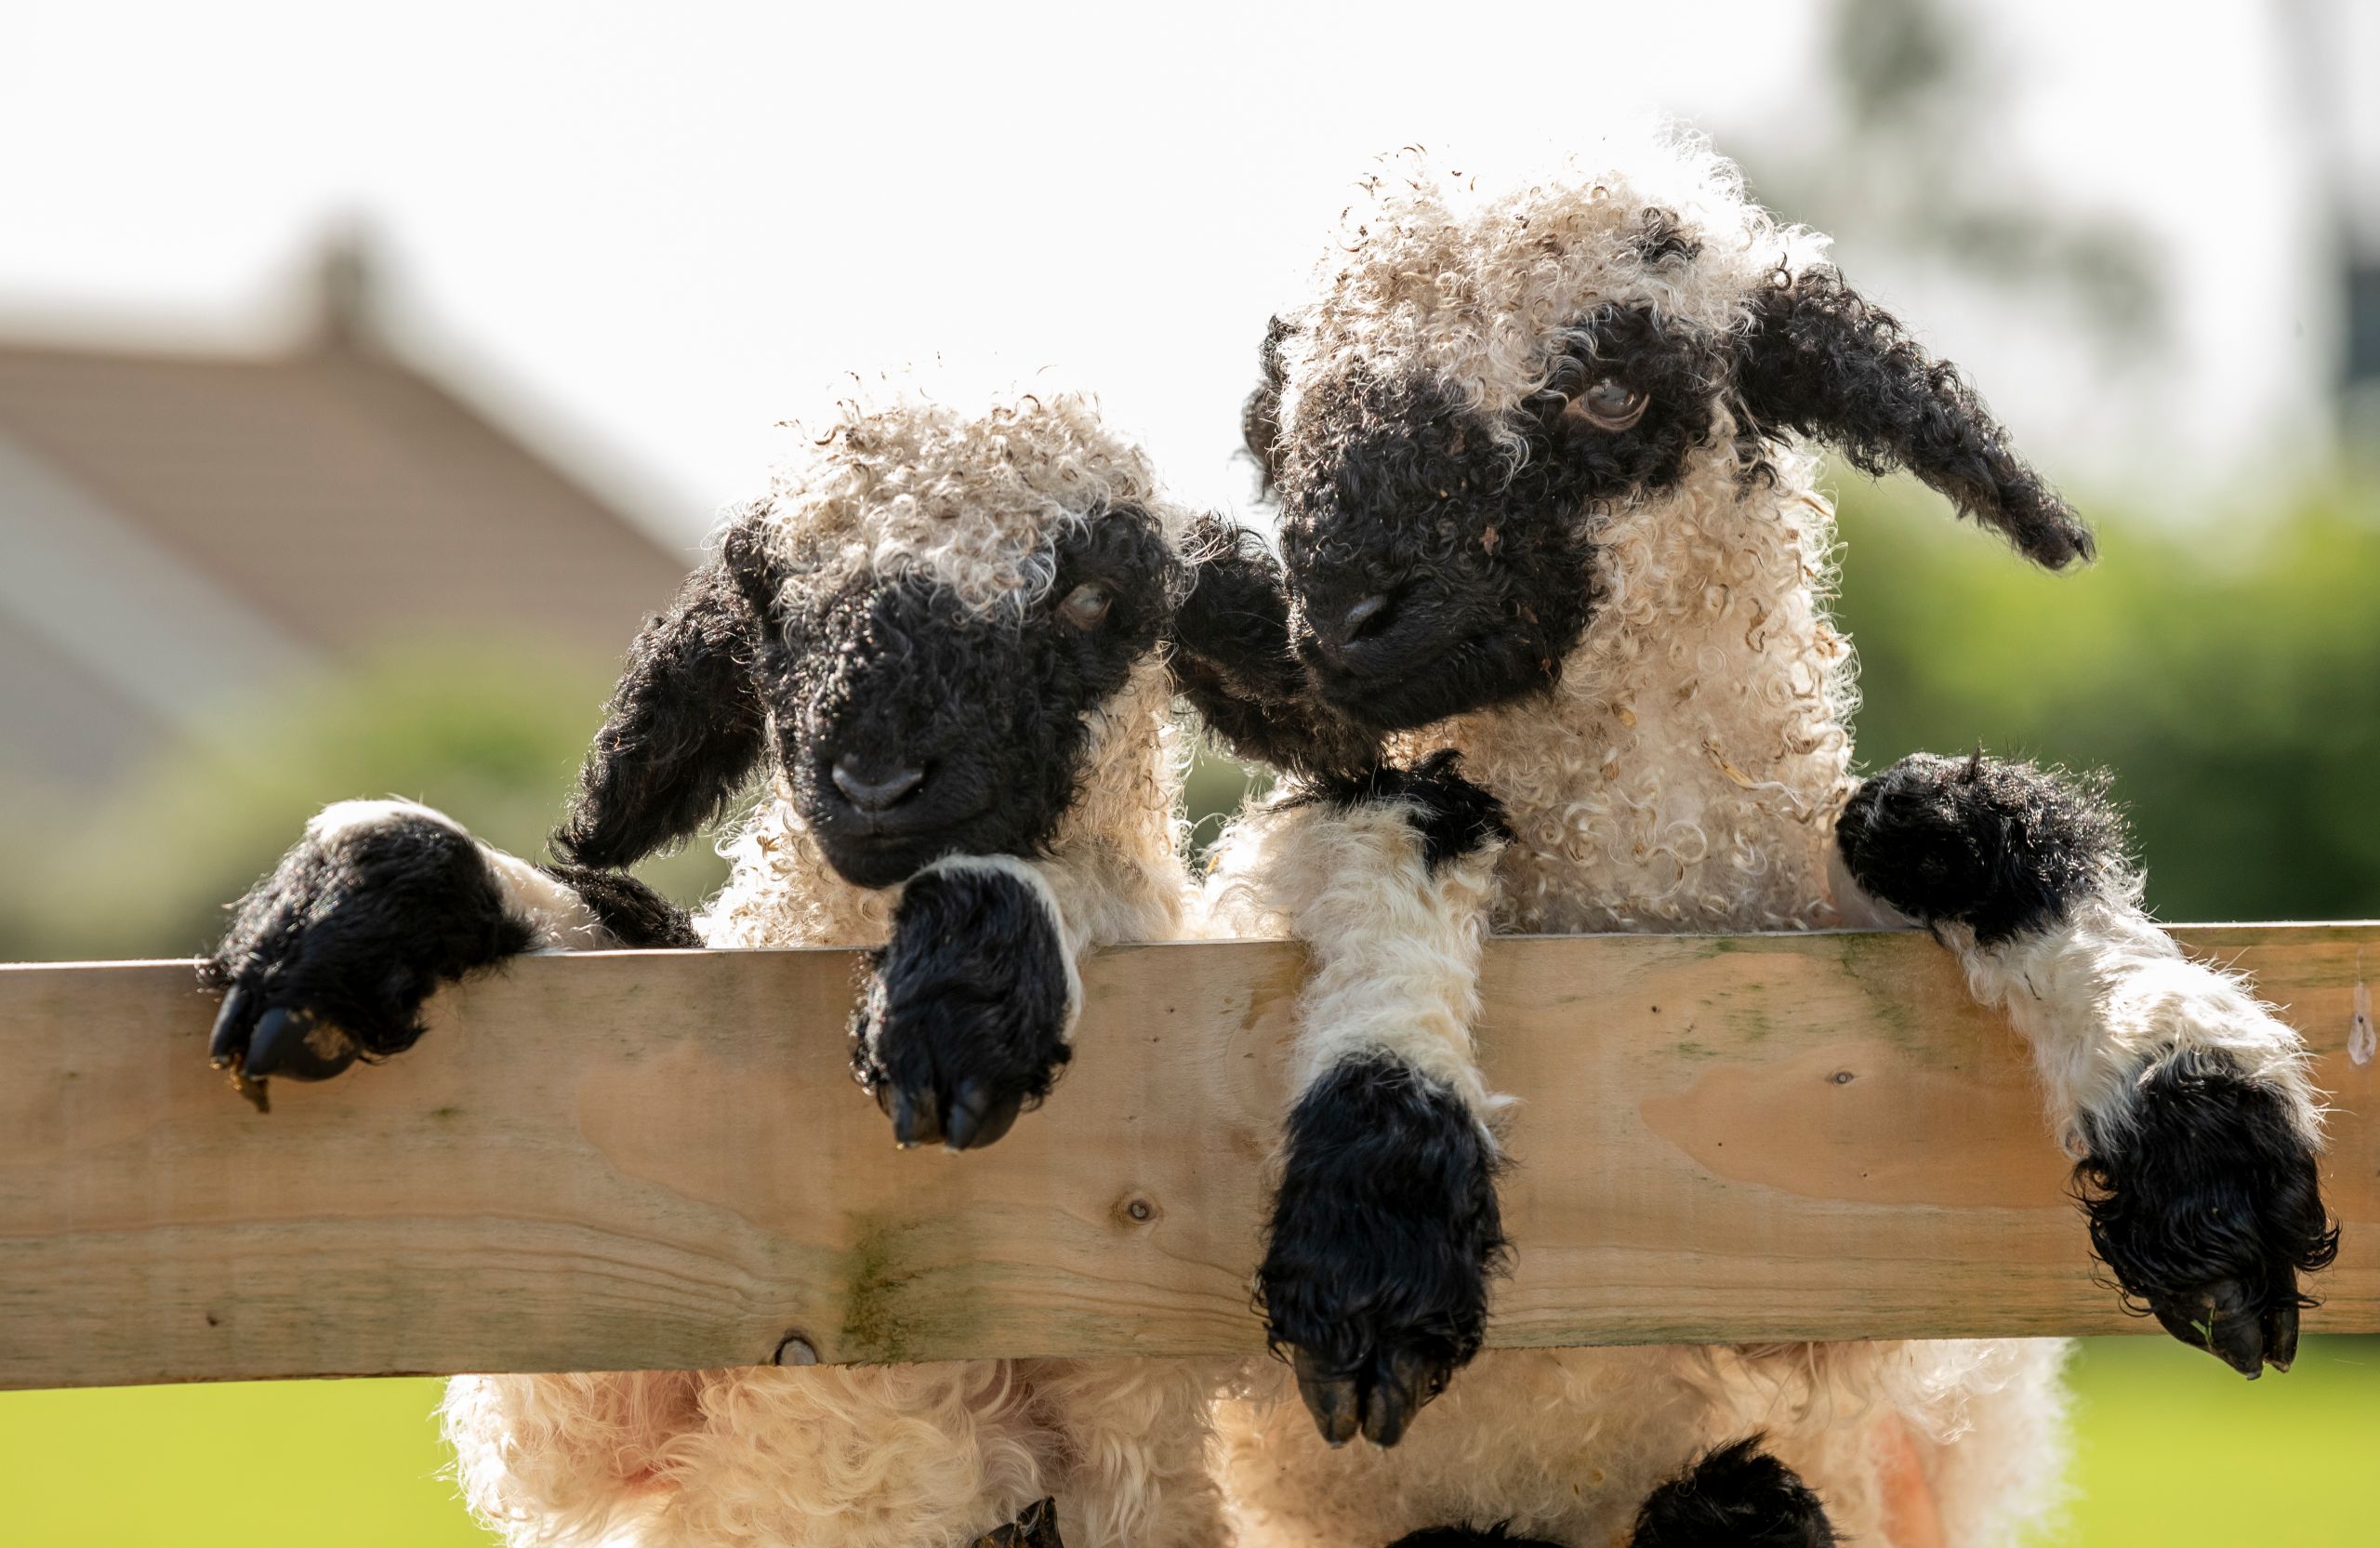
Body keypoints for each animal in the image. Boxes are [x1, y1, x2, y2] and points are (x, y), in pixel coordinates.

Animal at [201, 386, 1231, 1548]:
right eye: (769, 599)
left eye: (1095, 599)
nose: (874, 781)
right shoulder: (601, 1325)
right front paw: (331, 927)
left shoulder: (1128, 1337)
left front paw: (959, 1002)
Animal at [1181, 135, 2338, 1547]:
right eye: (1280, 430)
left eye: (1611, 393)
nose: (1336, 618)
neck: (1639, 911)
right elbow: (1392, 826)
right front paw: (1375, 1201)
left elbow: (1955, 815)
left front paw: (2199, 1131)